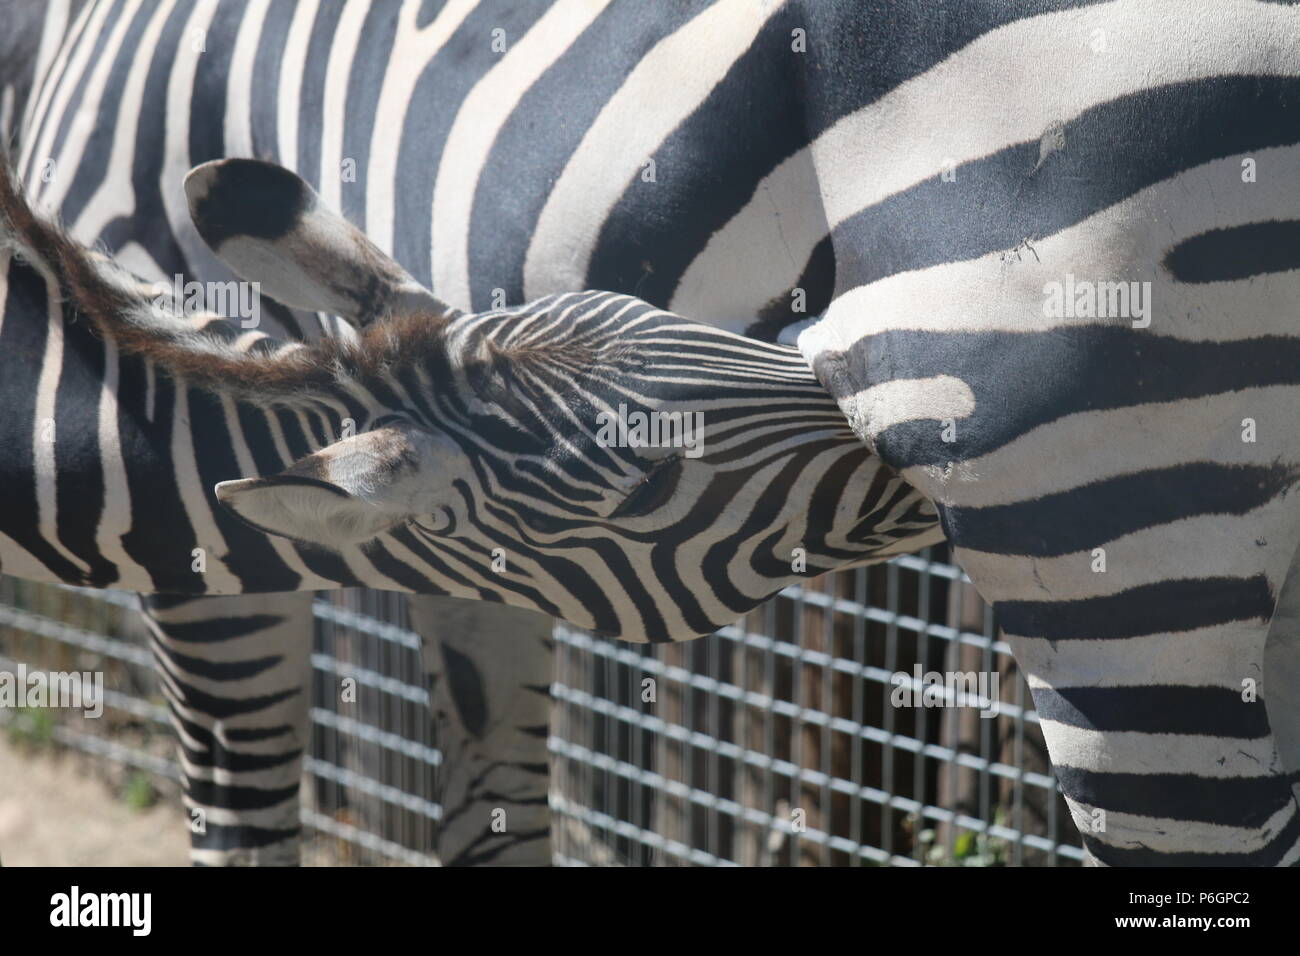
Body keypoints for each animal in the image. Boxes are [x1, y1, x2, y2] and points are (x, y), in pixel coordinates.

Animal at [9, 0, 1300, 866]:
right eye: (641, 474)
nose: (882, 412)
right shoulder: (467, 567)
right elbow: (495, 810)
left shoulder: (203, 559)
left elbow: (242, 823)